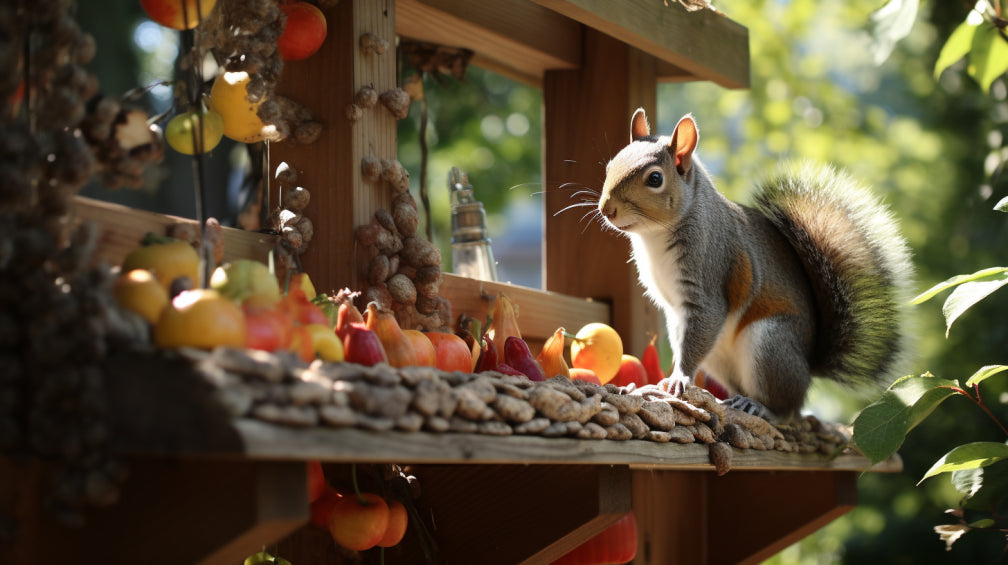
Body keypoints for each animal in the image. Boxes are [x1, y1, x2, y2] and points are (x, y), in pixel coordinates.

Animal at [597, 108, 914, 419]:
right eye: (610, 165)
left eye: (654, 179)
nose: (606, 209)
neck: (655, 236)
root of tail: (808, 366)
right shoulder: (674, 308)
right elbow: (680, 341)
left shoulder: (708, 274)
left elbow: (703, 324)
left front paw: (680, 378)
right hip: (720, 360)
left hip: (769, 345)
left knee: (787, 410)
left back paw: (762, 408)